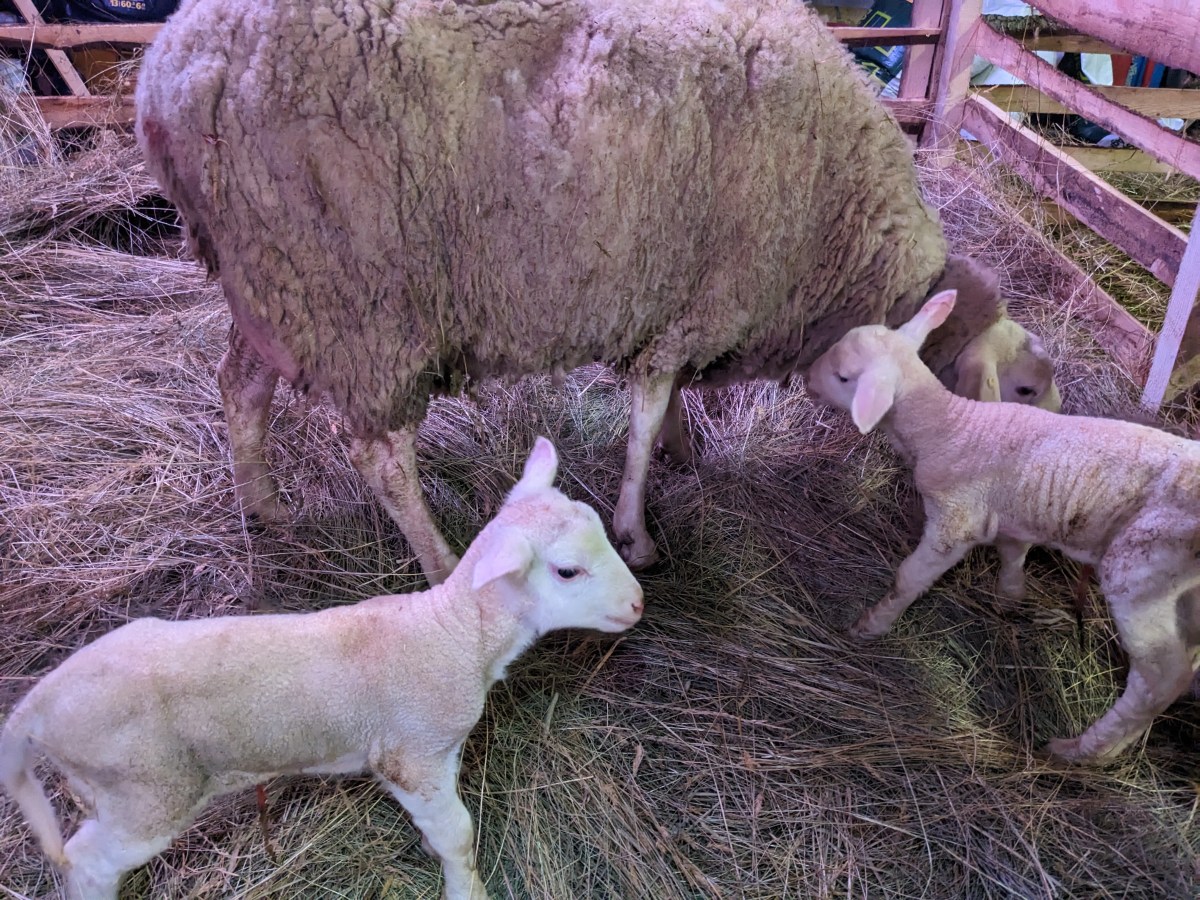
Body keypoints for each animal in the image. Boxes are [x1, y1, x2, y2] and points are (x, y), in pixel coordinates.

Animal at [0, 437, 644, 900]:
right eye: (566, 571)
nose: (639, 603)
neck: (453, 632)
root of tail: (34, 709)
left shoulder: (433, 752)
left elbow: (443, 833)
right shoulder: (412, 756)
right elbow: (459, 836)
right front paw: (468, 891)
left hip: (107, 785)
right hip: (148, 791)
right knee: (87, 863)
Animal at [134, 0, 1060, 583]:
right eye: (1020, 391)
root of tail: (164, 73)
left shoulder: (680, 301)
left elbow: (667, 404)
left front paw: (686, 450)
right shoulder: (700, 302)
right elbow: (642, 422)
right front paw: (637, 531)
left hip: (271, 283)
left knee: (239, 387)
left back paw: (265, 509)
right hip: (356, 300)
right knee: (378, 453)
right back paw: (440, 561)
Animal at [806, 290, 1200, 762]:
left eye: (844, 377)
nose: (806, 379)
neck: (949, 425)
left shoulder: (954, 521)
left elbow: (909, 578)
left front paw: (871, 625)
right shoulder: (1014, 513)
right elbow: (1013, 555)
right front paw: (1010, 598)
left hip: (1142, 576)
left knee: (1162, 679)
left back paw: (1082, 750)